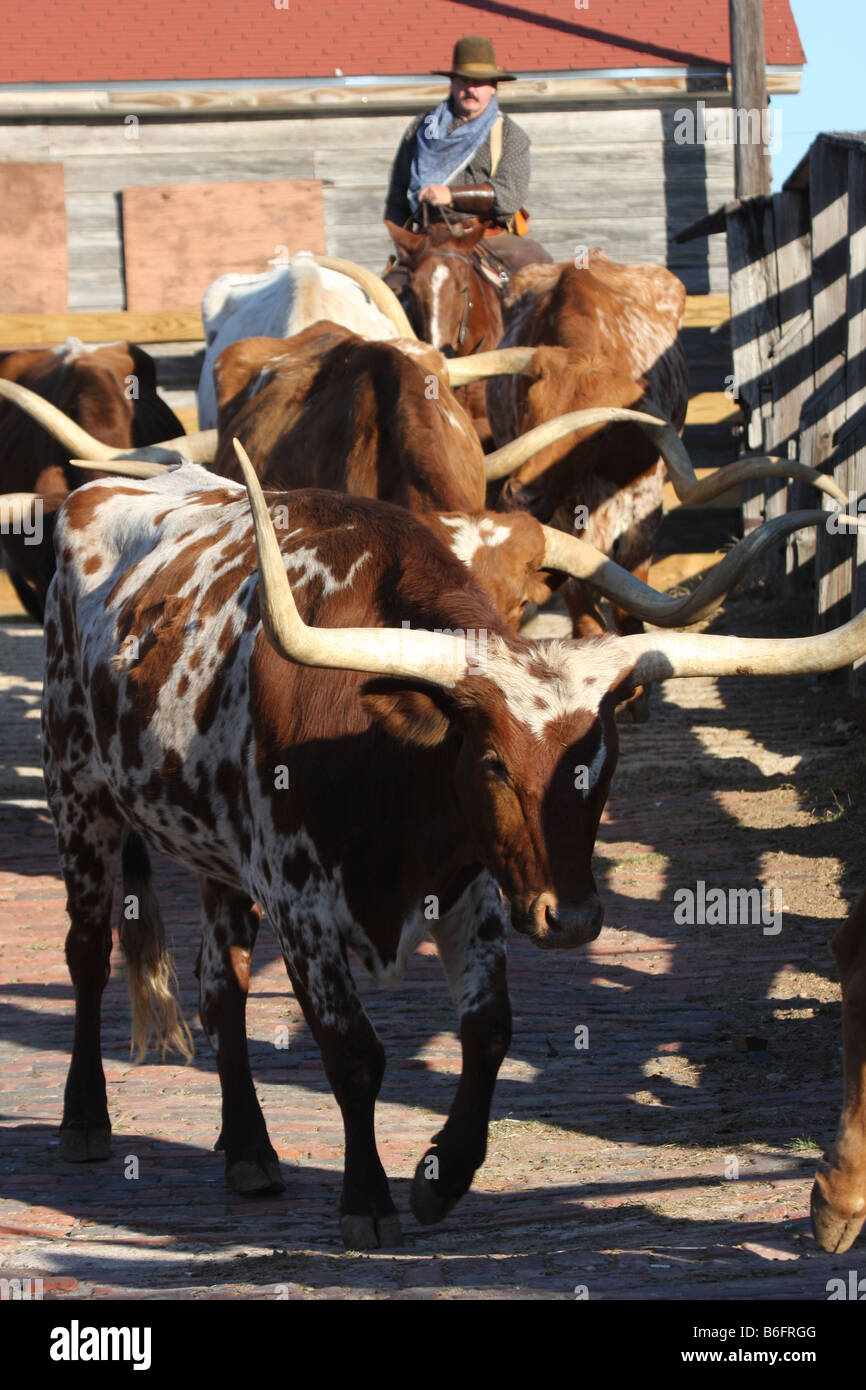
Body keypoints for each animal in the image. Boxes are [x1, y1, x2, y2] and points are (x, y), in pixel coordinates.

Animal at [43, 447, 866, 1249]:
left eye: (601, 764)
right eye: (494, 762)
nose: (572, 920)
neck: (381, 752)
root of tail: (98, 490)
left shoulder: (473, 888)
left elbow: (488, 1030)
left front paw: (443, 1176)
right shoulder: (298, 901)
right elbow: (354, 1050)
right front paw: (368, 1200)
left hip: (217, 853)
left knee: (223, 985)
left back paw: (248, 1148)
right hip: (78, 793)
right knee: (87, 954)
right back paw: (84, 1120)